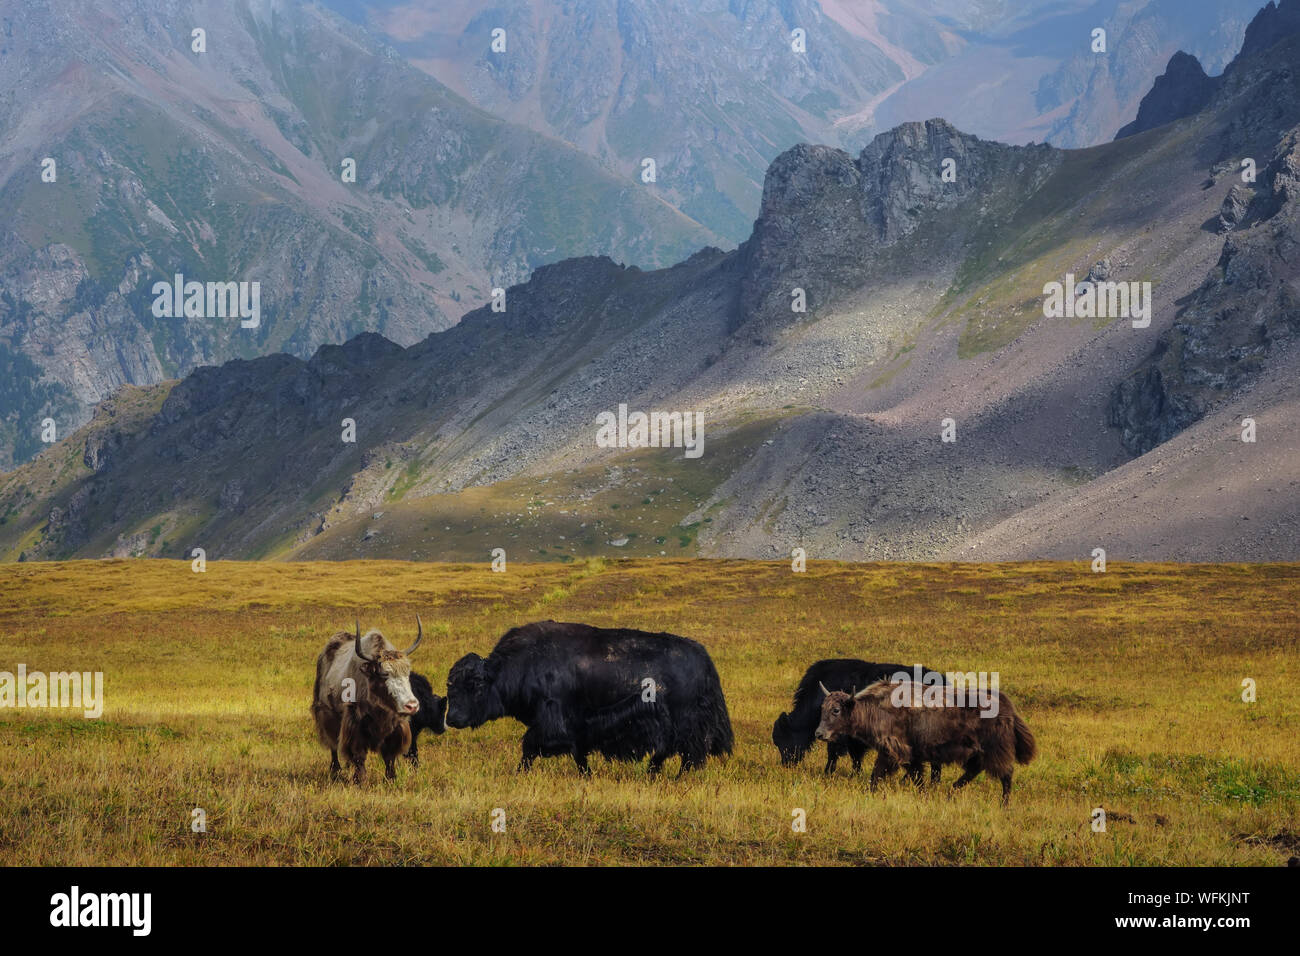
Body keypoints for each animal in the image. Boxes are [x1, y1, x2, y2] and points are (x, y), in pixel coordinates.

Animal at [311, 618, 423, 783]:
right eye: (384, 675)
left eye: (407, 673)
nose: (412, 706)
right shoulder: (354, 723)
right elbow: (359, 754)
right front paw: (360, 780)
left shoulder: (395, 727)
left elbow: (389, 756)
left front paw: (391, 779)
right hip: (327, 714)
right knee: (333, 745)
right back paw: (336, 771)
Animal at [445, 620, 733, 775]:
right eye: (450, 686)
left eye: (474, 685)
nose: (452, 718)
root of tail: (703, 658)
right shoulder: (577, 727)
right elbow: (578, 755)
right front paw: (587, 776)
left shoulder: (552, 721)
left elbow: (529, 747)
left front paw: (518, 774)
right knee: (672, 752)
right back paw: (652, 774)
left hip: (684, 722)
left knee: (688, 753)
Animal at [815, 679, 1037, 805]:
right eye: (822, 708)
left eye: (836, 710)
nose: (819, 734)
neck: (876, 708)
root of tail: (1008, 707)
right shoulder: (909, 755)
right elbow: (915, 777)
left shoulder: (894, 750)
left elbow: (879, 774)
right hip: (978, 752)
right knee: (974, 771)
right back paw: (950, 792)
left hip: (996, 750)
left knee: (1005, 775)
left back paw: (1004, 804)